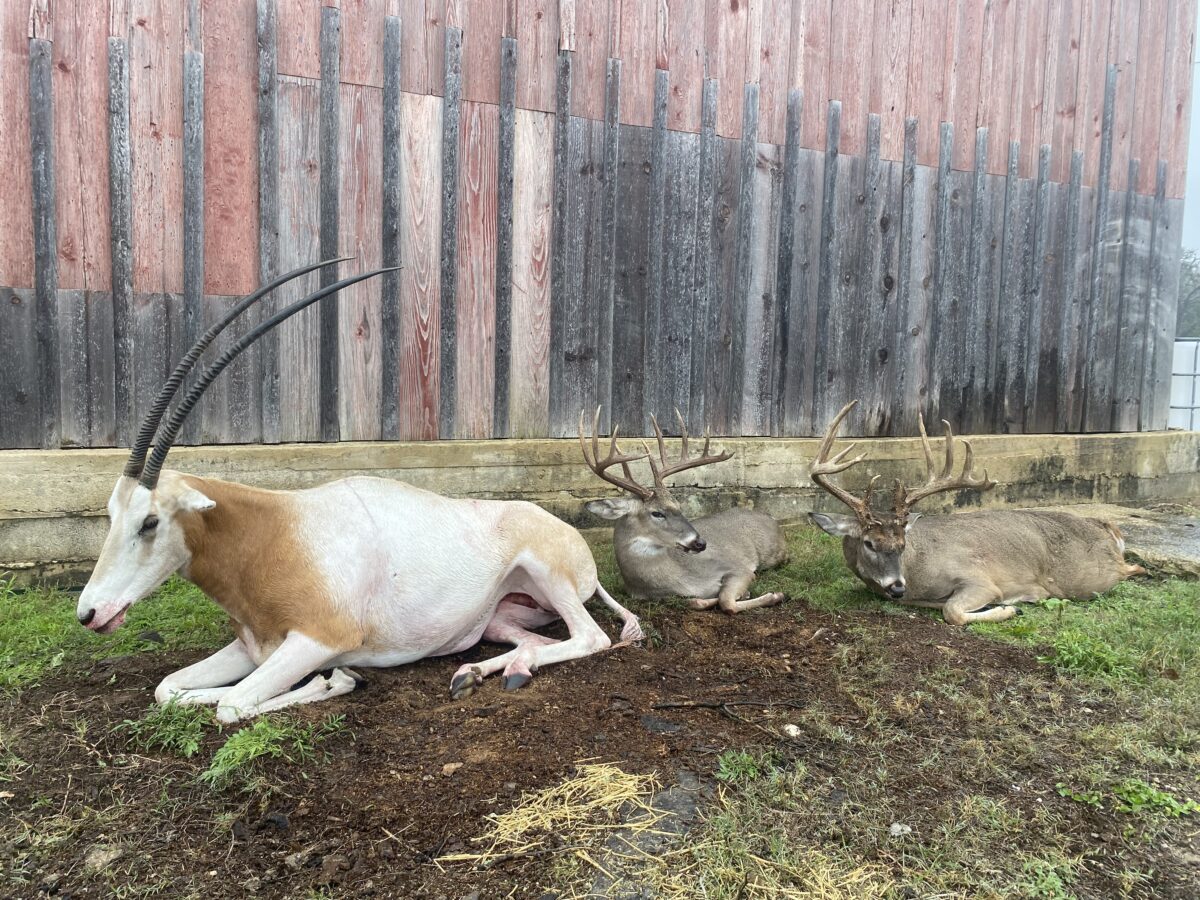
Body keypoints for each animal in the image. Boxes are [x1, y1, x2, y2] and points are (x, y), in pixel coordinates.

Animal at [75, 260, 643, 723]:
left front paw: (335, 680)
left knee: (590, 637)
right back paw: (482, 673)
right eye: (111, 515)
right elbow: (168, 688)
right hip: (499, 618)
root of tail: (570, 538)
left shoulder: (317, 640)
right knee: (528, 640)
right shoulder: (253, 648)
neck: (272, 534)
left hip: (550, 578)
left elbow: (233, 704)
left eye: (150, 521)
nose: (89, 614)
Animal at [580, 408, 788, 614]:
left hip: (771, 555)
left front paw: (775, 595)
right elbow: (699, 602)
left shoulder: (738, 568)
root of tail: (771, 519)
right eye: (657, 513)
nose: (700, 543)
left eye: (679, 506)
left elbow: (726, 602)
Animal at [808, 400, 1146, 625]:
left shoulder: (980, 579)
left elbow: (953, 611)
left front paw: (1011, 607)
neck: (918, 571)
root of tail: (1105, 527)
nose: (897, 586)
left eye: (902, 544)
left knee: (1130, 569)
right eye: (869, 543)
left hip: (1087, 577)